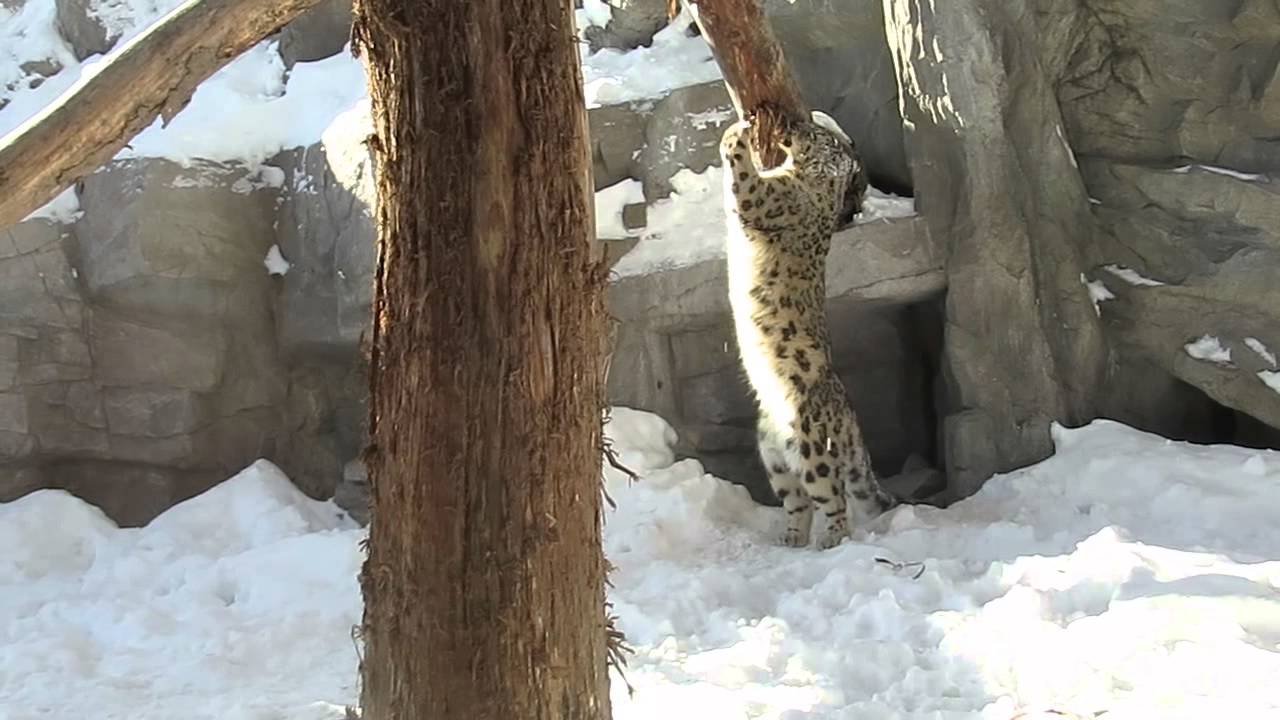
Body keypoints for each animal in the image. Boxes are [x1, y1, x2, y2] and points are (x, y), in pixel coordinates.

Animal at [719, 110, 896, 550]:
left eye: (816, 136)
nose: (795, 126)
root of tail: (850, 421)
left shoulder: (767, 198)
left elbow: (742, 181)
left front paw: (737, 132)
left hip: (814, 446)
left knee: (832, 498)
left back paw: (830, 539)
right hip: (772, 455)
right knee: (797, 501)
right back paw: (792, 538)